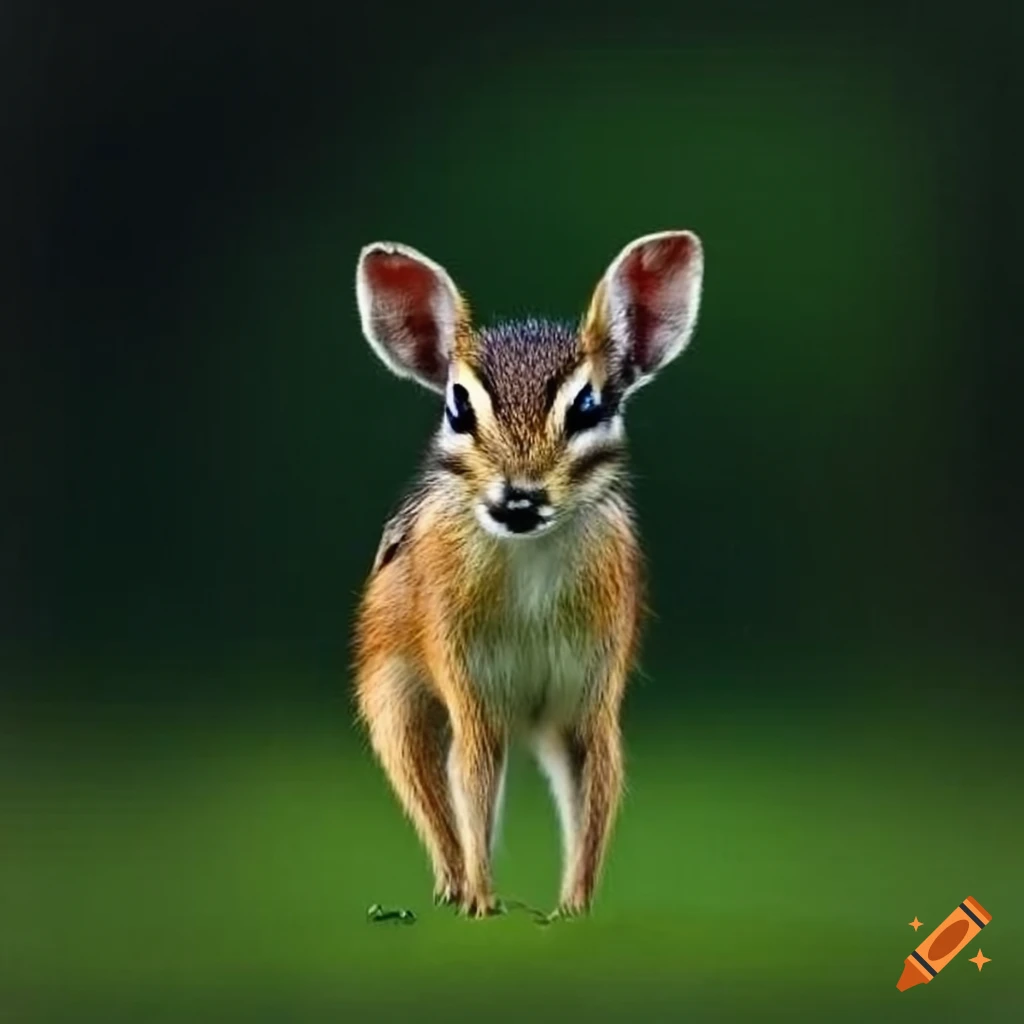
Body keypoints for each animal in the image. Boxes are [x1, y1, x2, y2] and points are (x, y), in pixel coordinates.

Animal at [352, 231, 704, 919]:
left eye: (590, 405)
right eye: (457, 407)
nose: (519, 498)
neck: (530, 560)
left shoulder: (590, 698)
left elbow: (596, 791)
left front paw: (575, 910)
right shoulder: (468, 686)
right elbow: (472, 786)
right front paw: (482, 903)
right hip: (393, 703)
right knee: (430, 796)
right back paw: (451, 887)